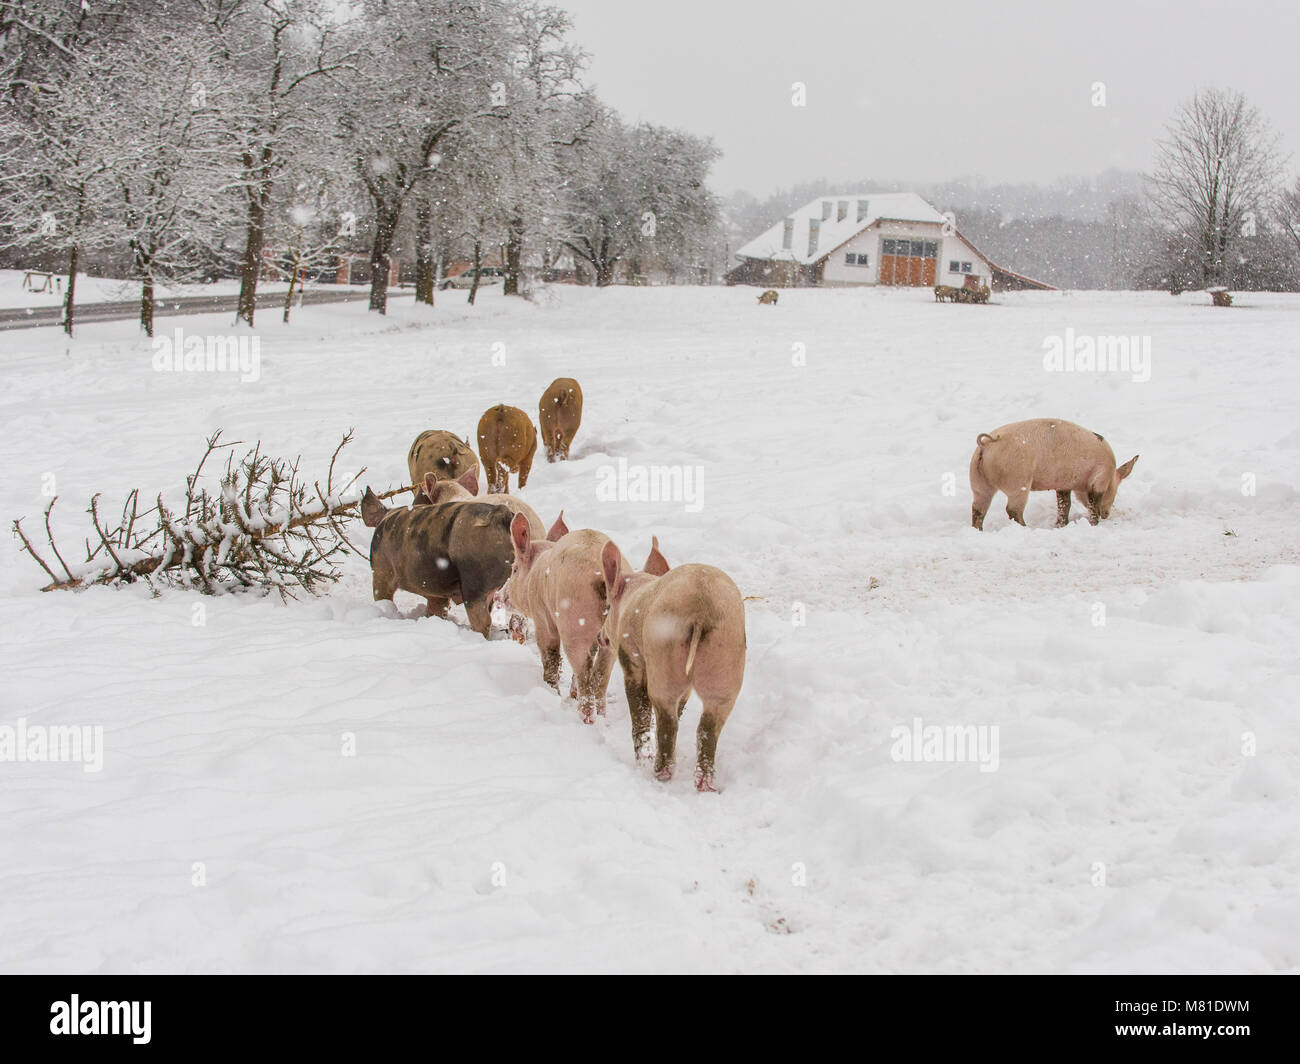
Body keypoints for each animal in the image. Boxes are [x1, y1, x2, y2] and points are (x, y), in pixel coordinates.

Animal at [361, 487, 515, 638]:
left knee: (483, 620)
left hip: (475, 582)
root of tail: (500, 515)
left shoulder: (381, 571)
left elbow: (382, 597)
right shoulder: (437, 594)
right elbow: (437, 610)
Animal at [499, 516, 617, 723]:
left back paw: (586, 720)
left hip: (574, 620)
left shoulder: (542, 617)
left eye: (514, 569)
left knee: (584, 671)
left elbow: (551, 656)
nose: (497, 596)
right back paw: (602, 717)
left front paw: (551, 691)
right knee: (601, 674)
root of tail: (601, 575)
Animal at [598, 538, 746, 792]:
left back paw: (659, 774)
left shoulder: (632, 656)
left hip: (664, 651)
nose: (599, 636)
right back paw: (705, 785)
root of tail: (701, 608)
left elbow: (640, 709)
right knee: (707, 726)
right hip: (727, 657)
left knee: (668, 721)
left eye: (607, 608)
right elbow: (681, 703)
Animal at [969, 419, 1138, 530]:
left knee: (978, 508)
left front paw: (1060, 526)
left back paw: (979, 530)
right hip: (1018, 482)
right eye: (1113, 491)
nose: (1107, 514)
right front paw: (1094, 524)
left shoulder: (1063, 483)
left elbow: (1065, 505)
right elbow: (1092, 505)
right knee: (1012, 510)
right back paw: (1027, 528)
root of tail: (987, 444)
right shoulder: (1099, 479)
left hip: (978, 482)